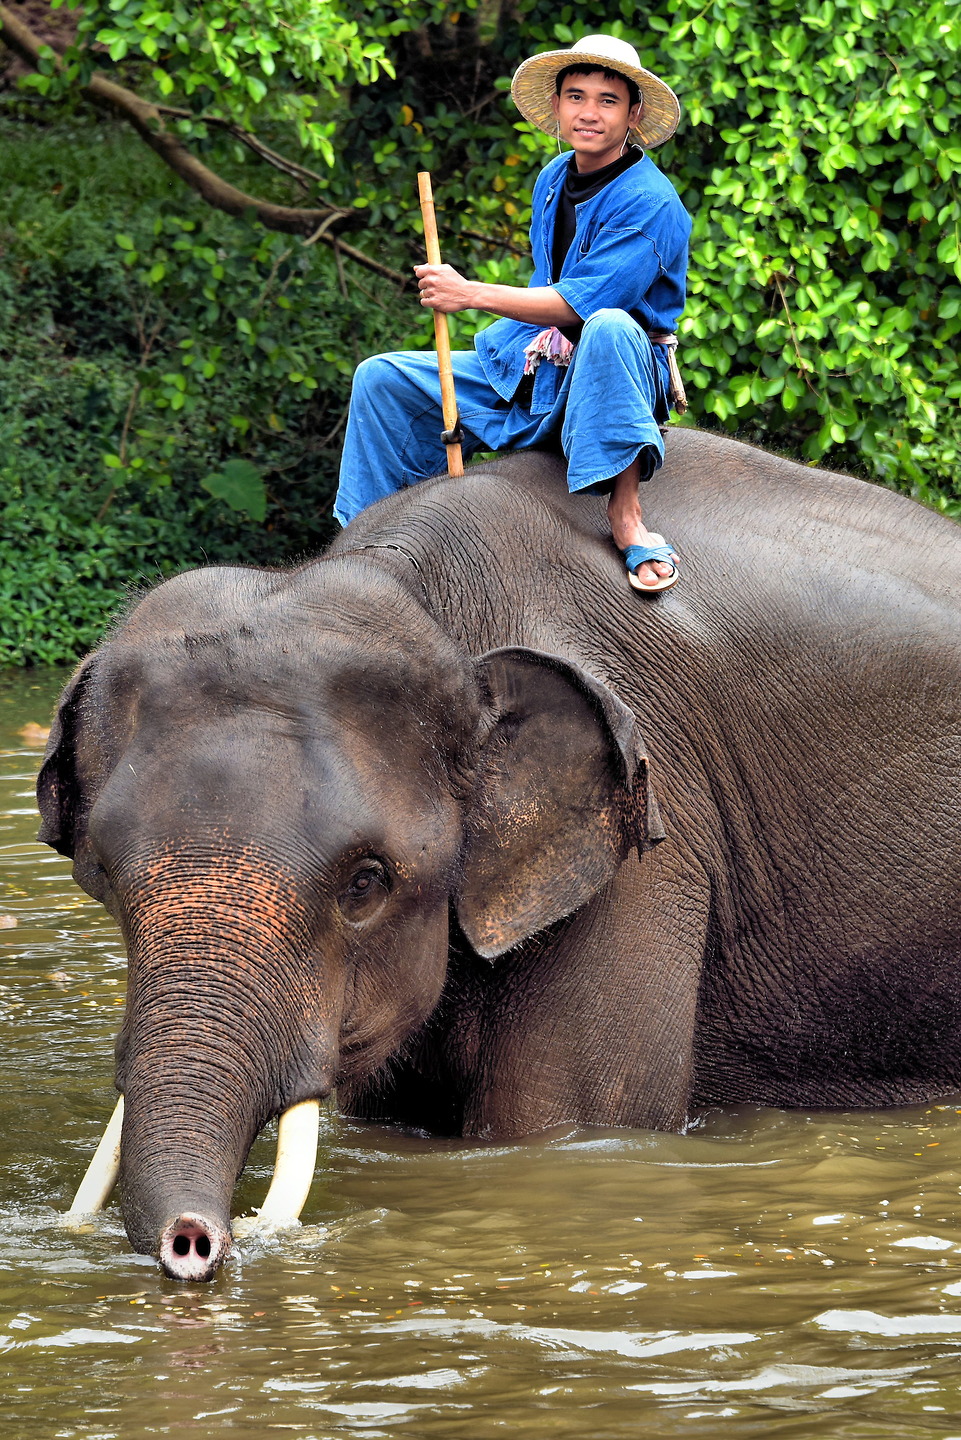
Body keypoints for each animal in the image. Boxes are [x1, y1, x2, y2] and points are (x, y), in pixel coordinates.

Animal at [37, 428, 961, 1282]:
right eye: (105, 877)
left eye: (365, 884)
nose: (194, 1245)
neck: (425, 599)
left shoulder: (652, 836)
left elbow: (566, 1117)